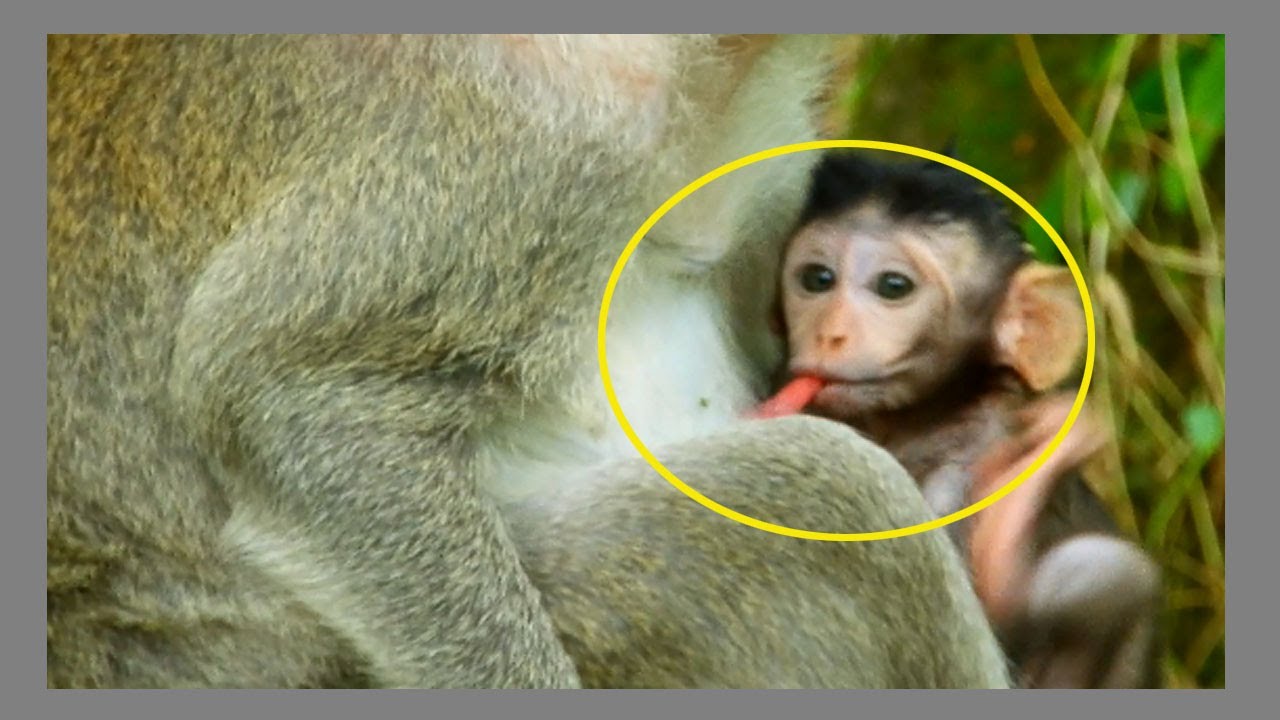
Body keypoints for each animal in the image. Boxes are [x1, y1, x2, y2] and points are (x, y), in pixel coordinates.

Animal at [757, 149, 1162, 688]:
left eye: (893, 287)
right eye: (817, 279)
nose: (830, 333)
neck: (928, 417)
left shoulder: (962, 476)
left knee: (1108, 572)